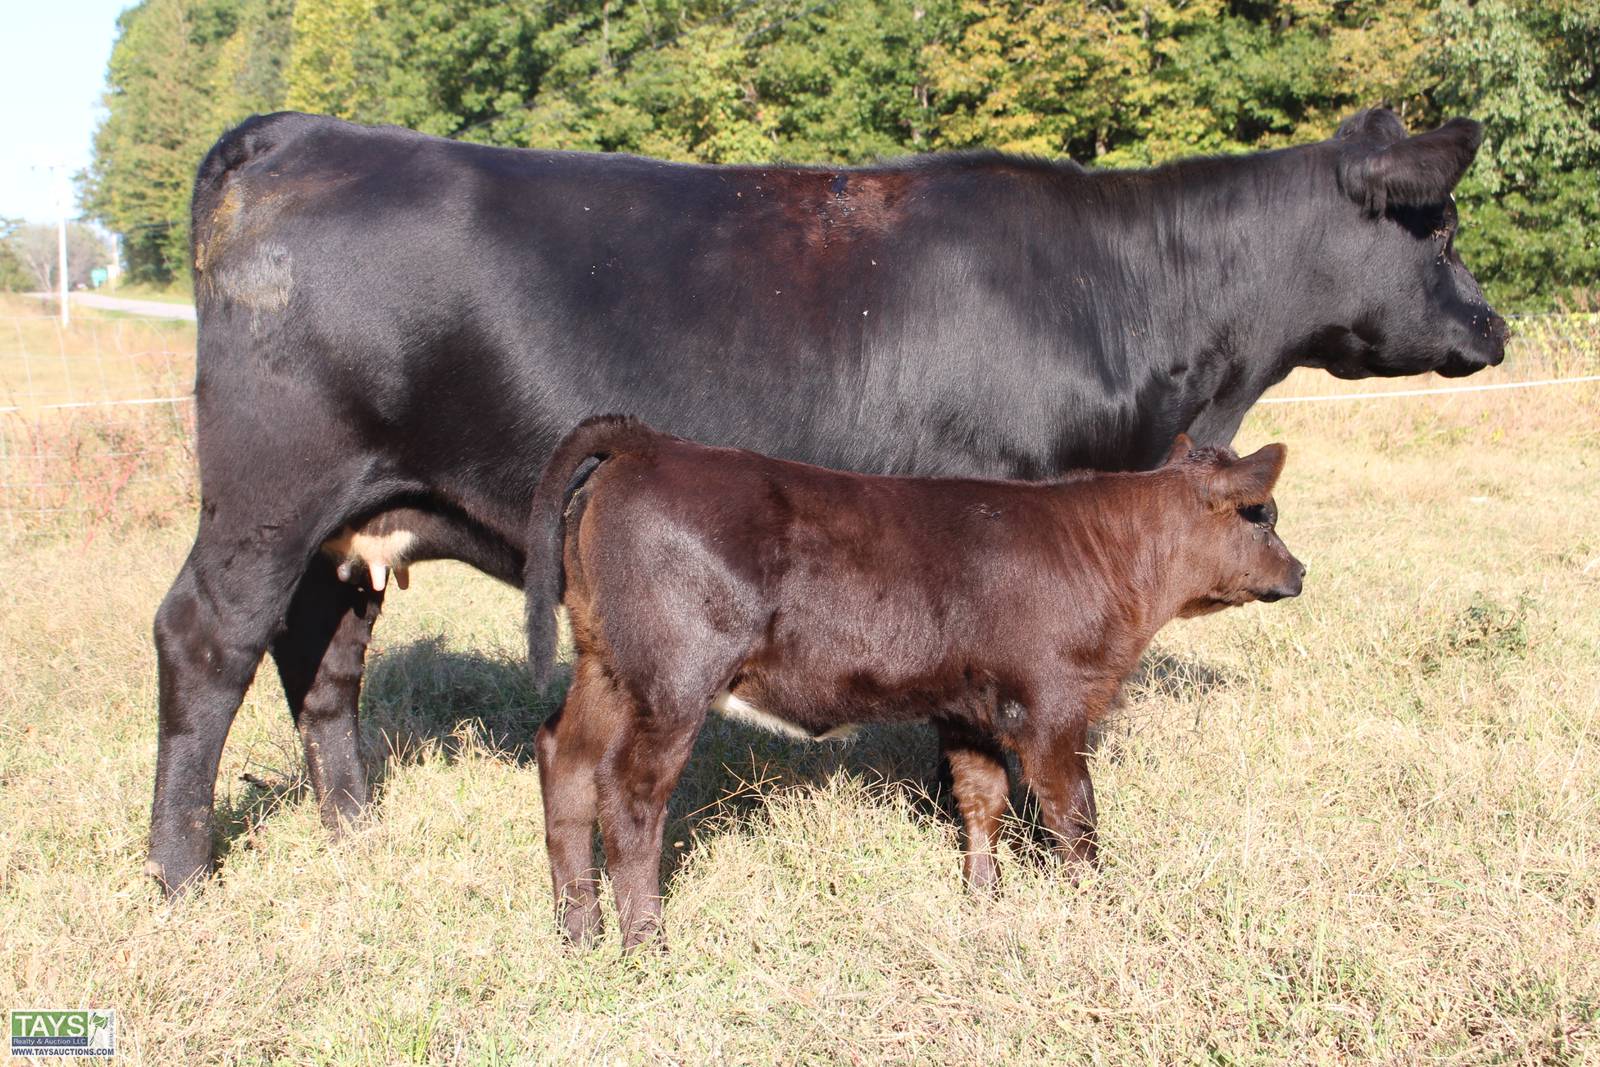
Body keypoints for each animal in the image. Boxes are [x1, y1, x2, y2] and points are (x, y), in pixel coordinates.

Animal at [523, 416, 1305, 948]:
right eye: (1259, 515)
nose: (1299, 572)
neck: (1105, 549)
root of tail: (651, 443)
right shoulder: (1054, 706)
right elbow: (1074, 817)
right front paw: (1097, 911)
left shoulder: (970, 709)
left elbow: (982, 801)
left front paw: (984, 901)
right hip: (673, 681)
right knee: (629, 795)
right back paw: (646, 943)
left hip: (607, 668)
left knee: (566, 761)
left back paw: (578, 932)